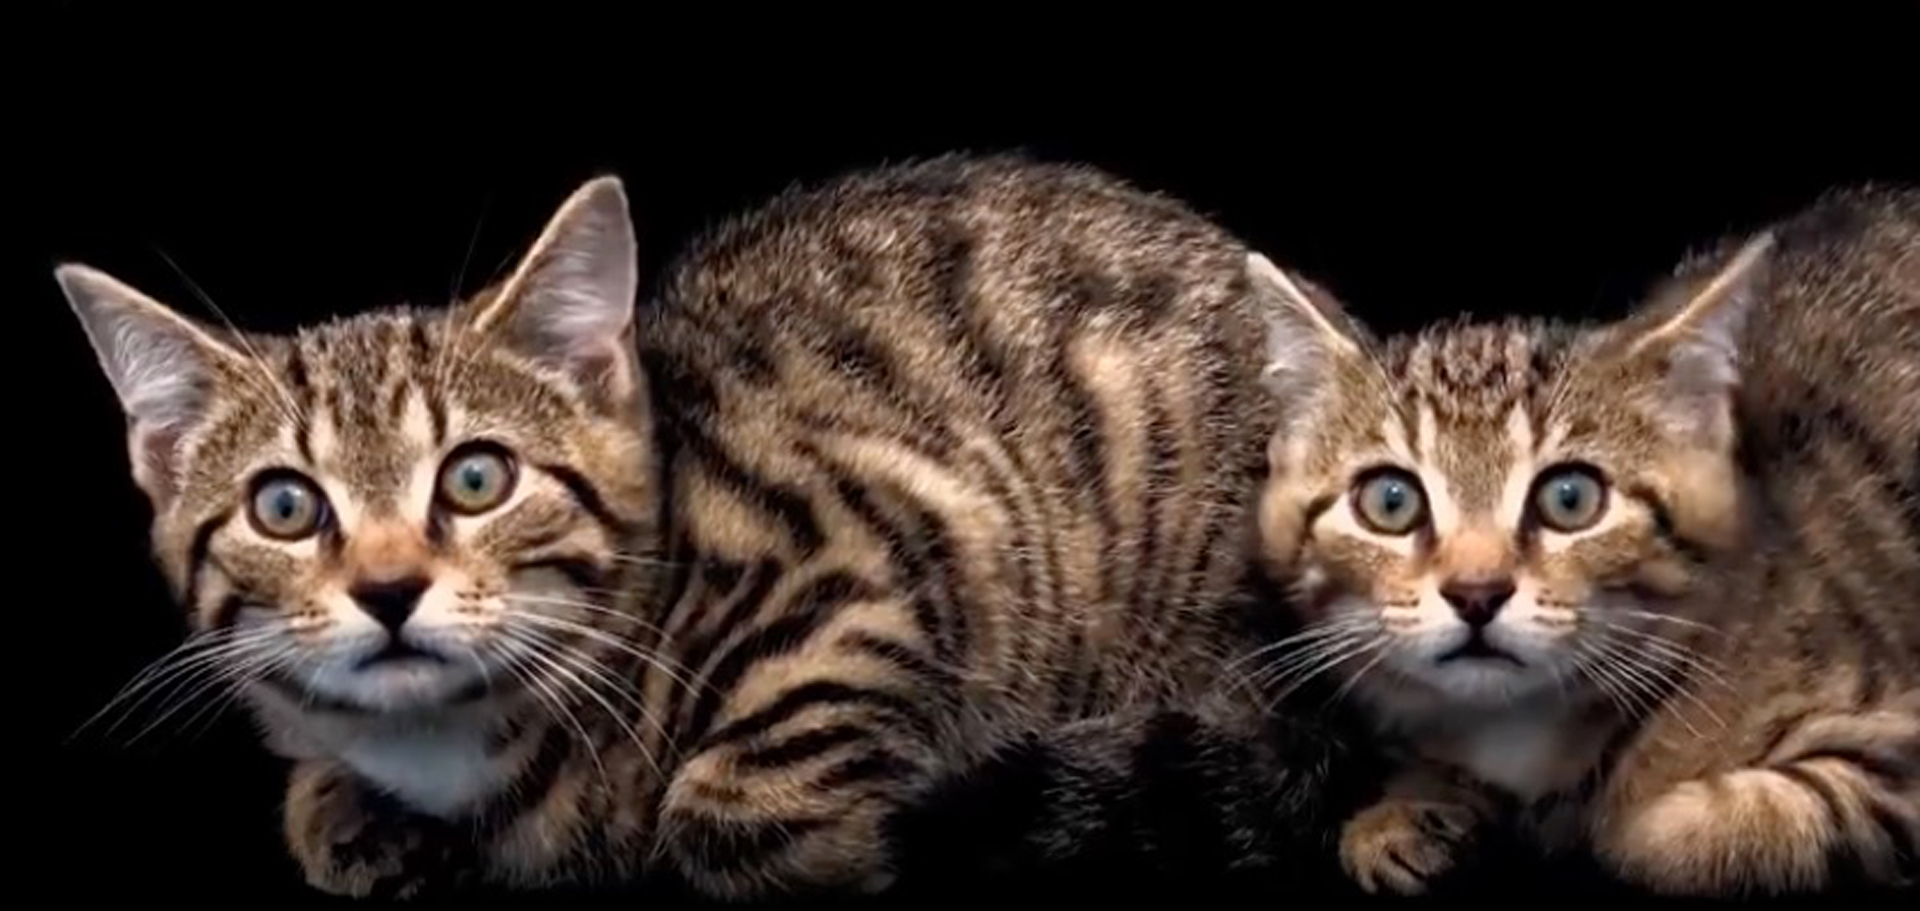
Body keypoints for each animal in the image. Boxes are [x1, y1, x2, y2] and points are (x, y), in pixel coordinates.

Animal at [57, 156, 1352, 898]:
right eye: (286, 504)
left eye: (476, 477)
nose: (387, 587)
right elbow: (315, 794)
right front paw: (349, 814)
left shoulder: (896, 541)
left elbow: (729, 807)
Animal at [1242, 185, 1918, 897]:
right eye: (1390, 502)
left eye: (1570, 499)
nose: (1477, 593)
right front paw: (1406, 812)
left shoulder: (1893, 748)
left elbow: (1661, 837)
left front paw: (1604, 829)